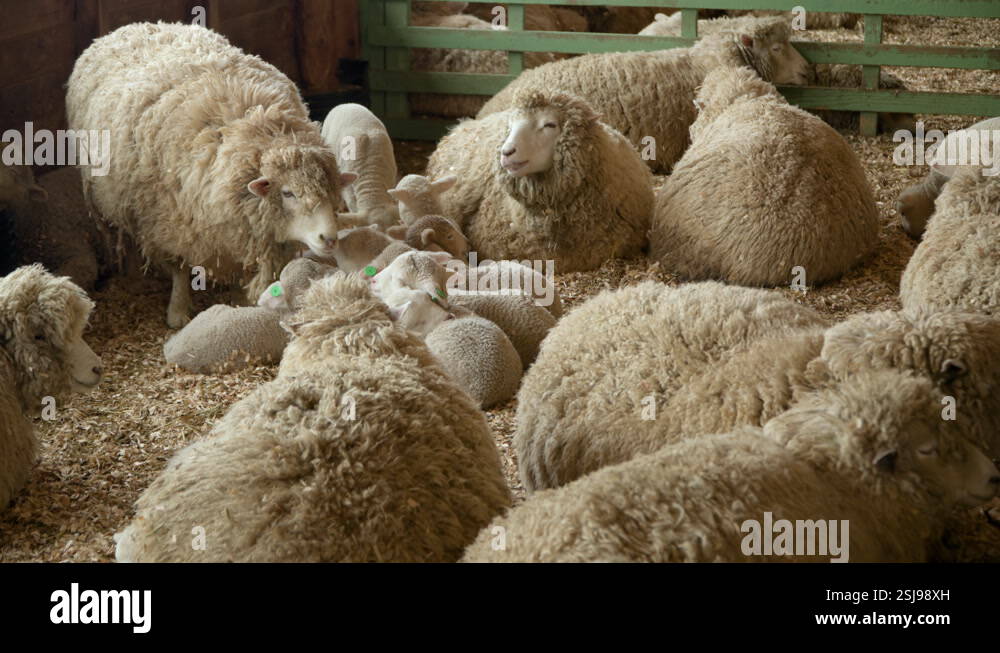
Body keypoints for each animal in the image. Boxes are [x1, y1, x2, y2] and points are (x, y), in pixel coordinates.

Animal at [66, 23, 359, 329]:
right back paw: (128, 273)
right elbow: (180, 269)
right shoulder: (171, 222)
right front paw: (177, 311)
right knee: (113, 233)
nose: (330, 239)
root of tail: (131, 27)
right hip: (100, 195)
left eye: (332, 193)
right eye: (287, 193)